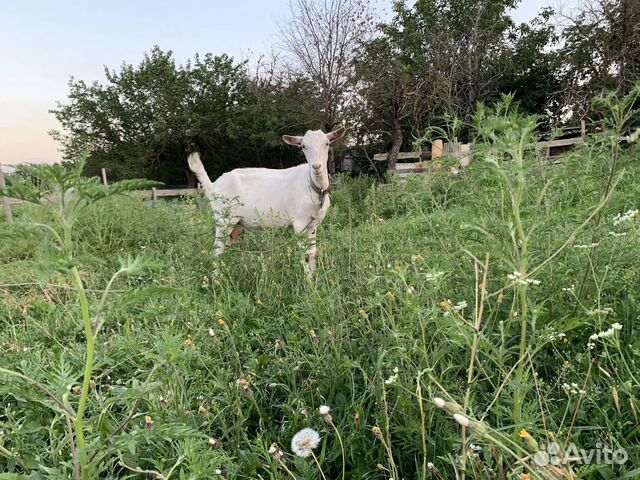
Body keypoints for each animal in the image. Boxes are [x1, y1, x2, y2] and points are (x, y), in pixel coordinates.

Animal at [187, 126, 346, 273]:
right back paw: (217, 280)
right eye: (303, 146)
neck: (313, 186)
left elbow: (312, 252)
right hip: (224, 219)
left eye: (327, 144)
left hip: (235, 225)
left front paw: (314, 277)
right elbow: (303, 253)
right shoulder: (299, 223)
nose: (316, 166)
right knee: (217, 250)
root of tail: (213, 186)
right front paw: (308, 281)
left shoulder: (313, 225)